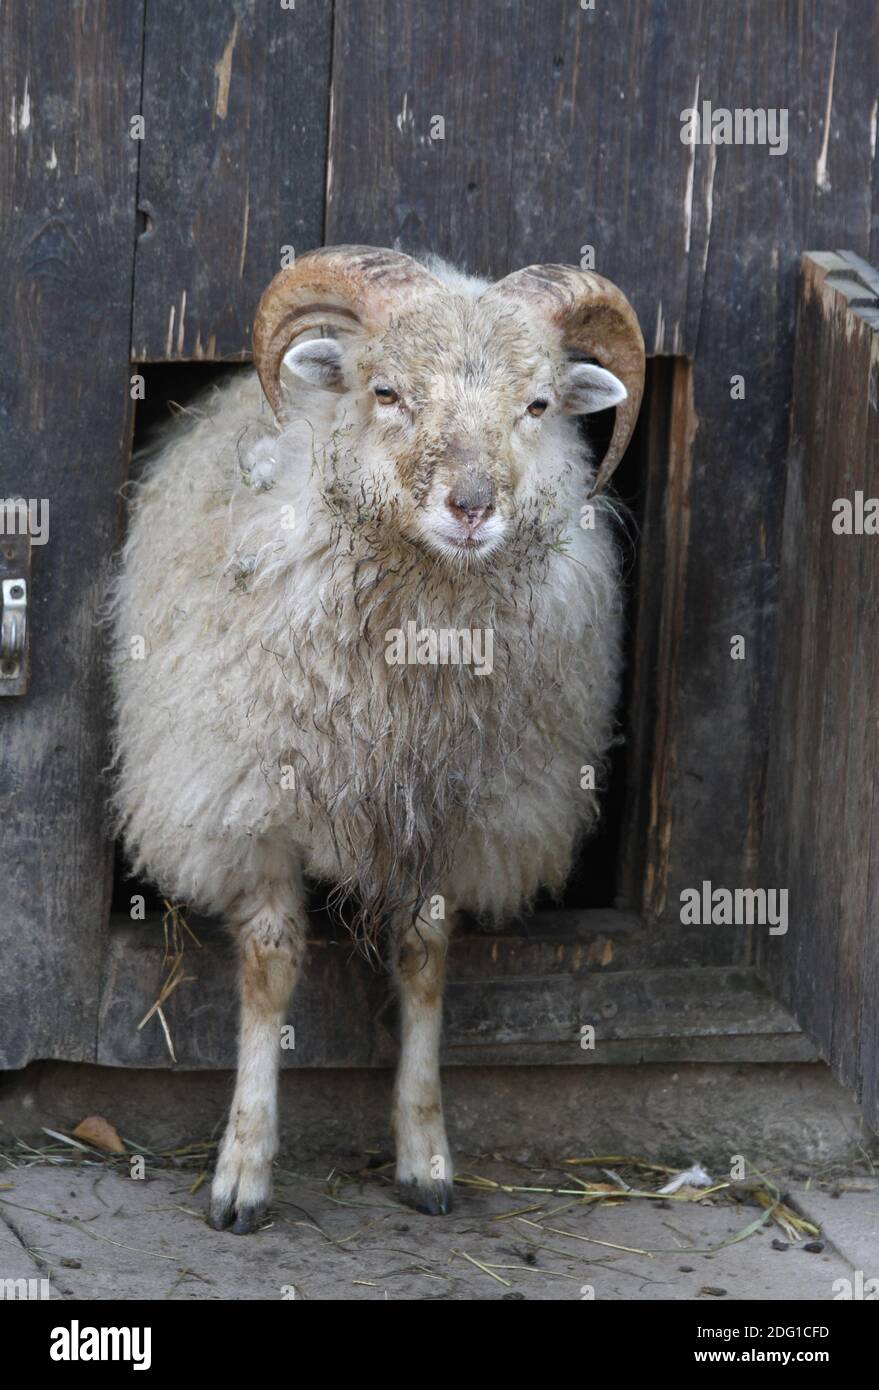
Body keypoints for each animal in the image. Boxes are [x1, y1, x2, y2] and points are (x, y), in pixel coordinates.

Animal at [109, 245, 645, 1233]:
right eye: (387, 391)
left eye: (537, 405)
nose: (471, 507)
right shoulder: (256, 804)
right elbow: (271, 969)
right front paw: (242, 1171)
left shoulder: (455, 819)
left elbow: (425, 964)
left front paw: (424, 1156)